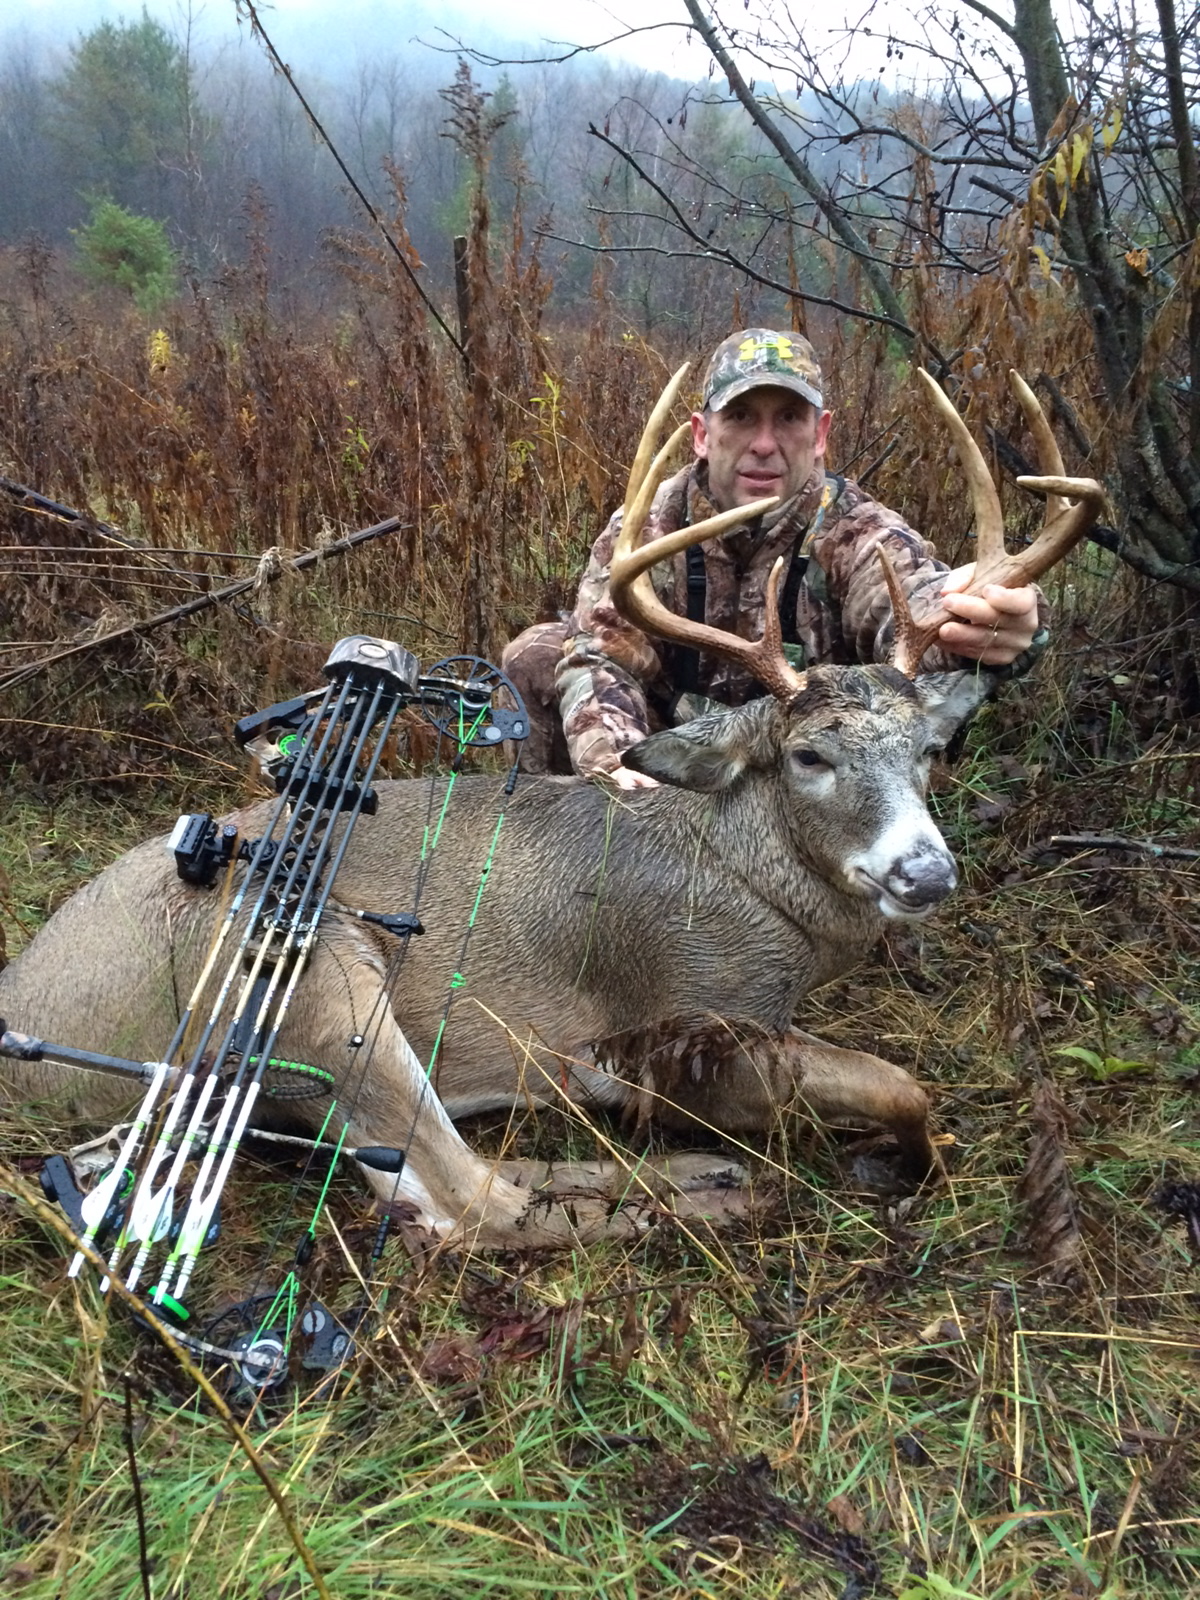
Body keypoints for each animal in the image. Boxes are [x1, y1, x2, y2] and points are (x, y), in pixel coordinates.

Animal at [0, 369, 1103, 1249]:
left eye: (928, 751)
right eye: (809, 754)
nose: (926, 871)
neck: (751, 878)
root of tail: (25, 1033)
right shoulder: (683, 1023)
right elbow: (902, 1085)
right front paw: (899, 1158)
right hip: (305, 970)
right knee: (464, 1205)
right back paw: (710, 1188)